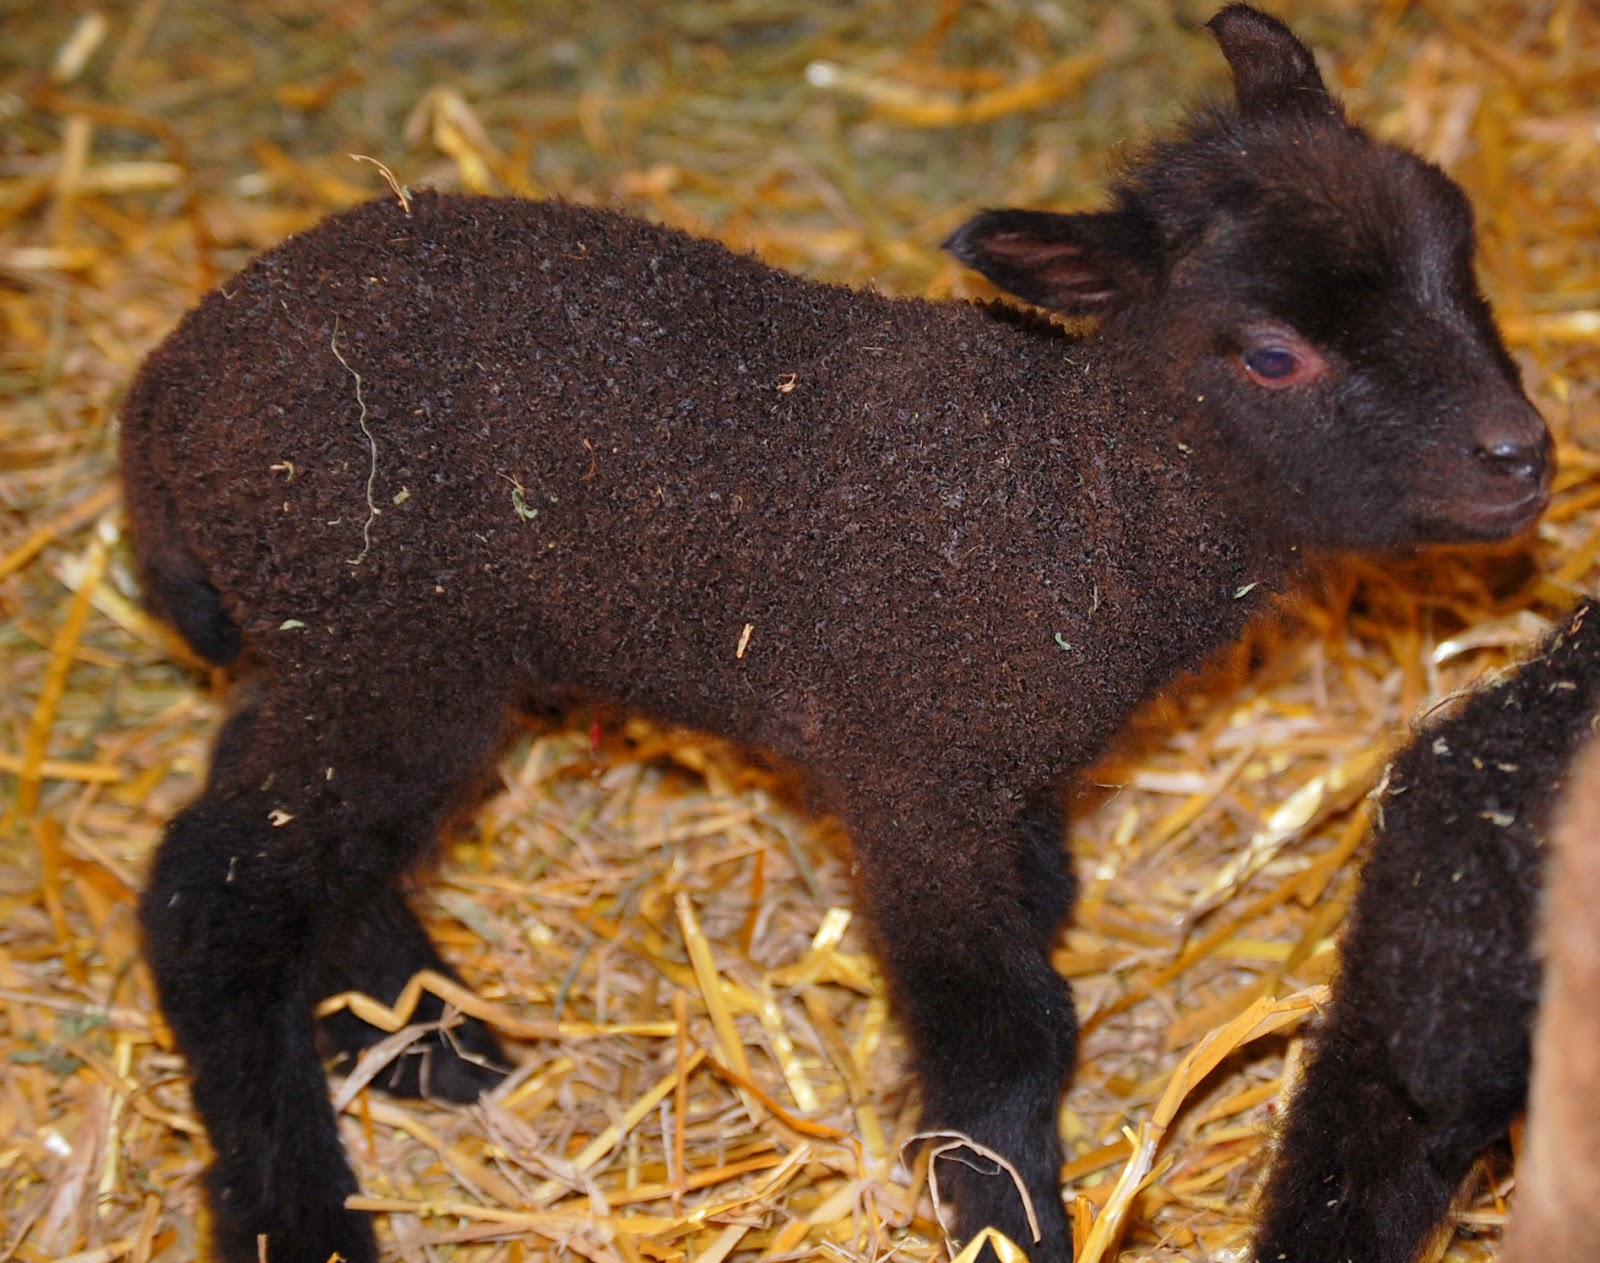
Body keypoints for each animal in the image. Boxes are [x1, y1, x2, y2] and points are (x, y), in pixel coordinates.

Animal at [118, 7, 1550, 1262]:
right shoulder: (916, 779)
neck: (1079, 492)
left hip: (339, 650)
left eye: (1460, 247)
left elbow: (1046, 907)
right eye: (1269, 354)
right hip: (393, 650)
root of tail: (163, 389)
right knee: (211, 894)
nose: (1521, 458)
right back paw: (302, 1207)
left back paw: (428, 1045)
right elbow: (1006, 1028)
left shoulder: (1008, 780)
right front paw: (1006, 1218)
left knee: (281, 815)